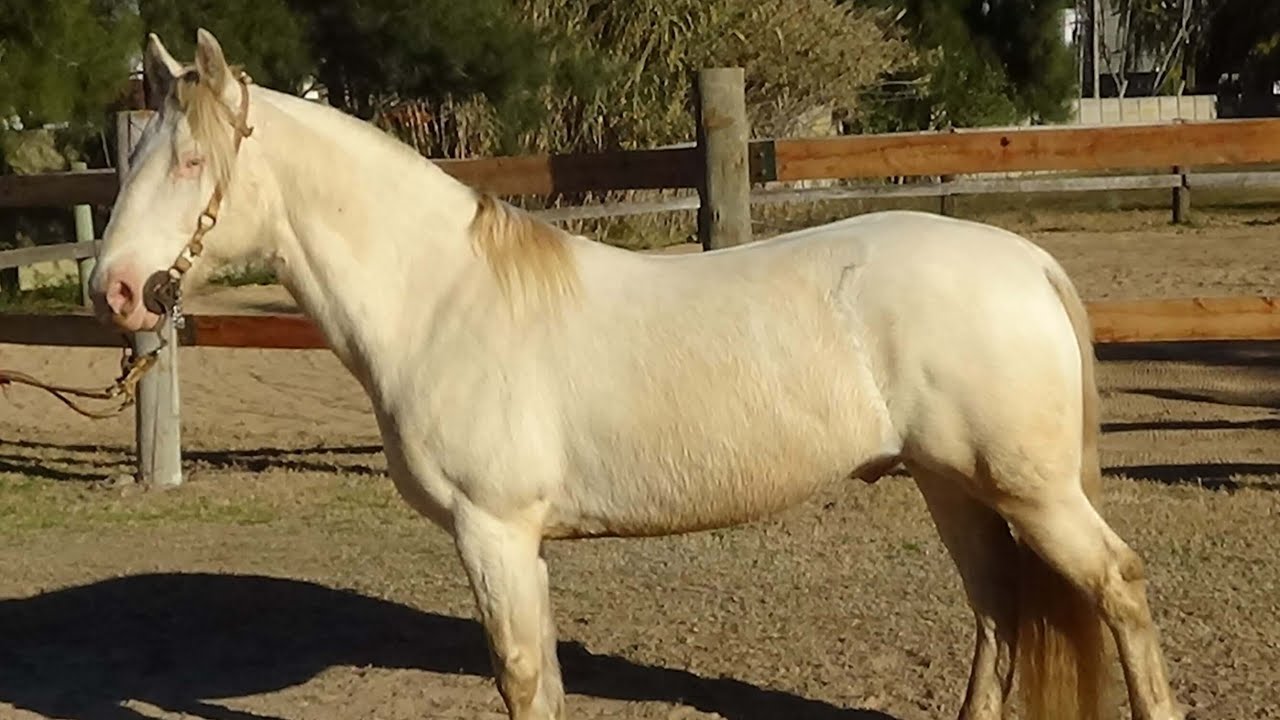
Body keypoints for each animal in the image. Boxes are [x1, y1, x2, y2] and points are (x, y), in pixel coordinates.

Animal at [88, 29, 1184, 720]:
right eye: (135, 157)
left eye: (190, 162)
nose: (116, 291)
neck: (442, 298)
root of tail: (1023, 261)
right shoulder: (517, 546)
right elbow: (539, 684)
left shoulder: (493, 534)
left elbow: (521, 683)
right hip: (953, 485)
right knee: (999, 616)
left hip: (1030, 491)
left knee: (1119, 586)